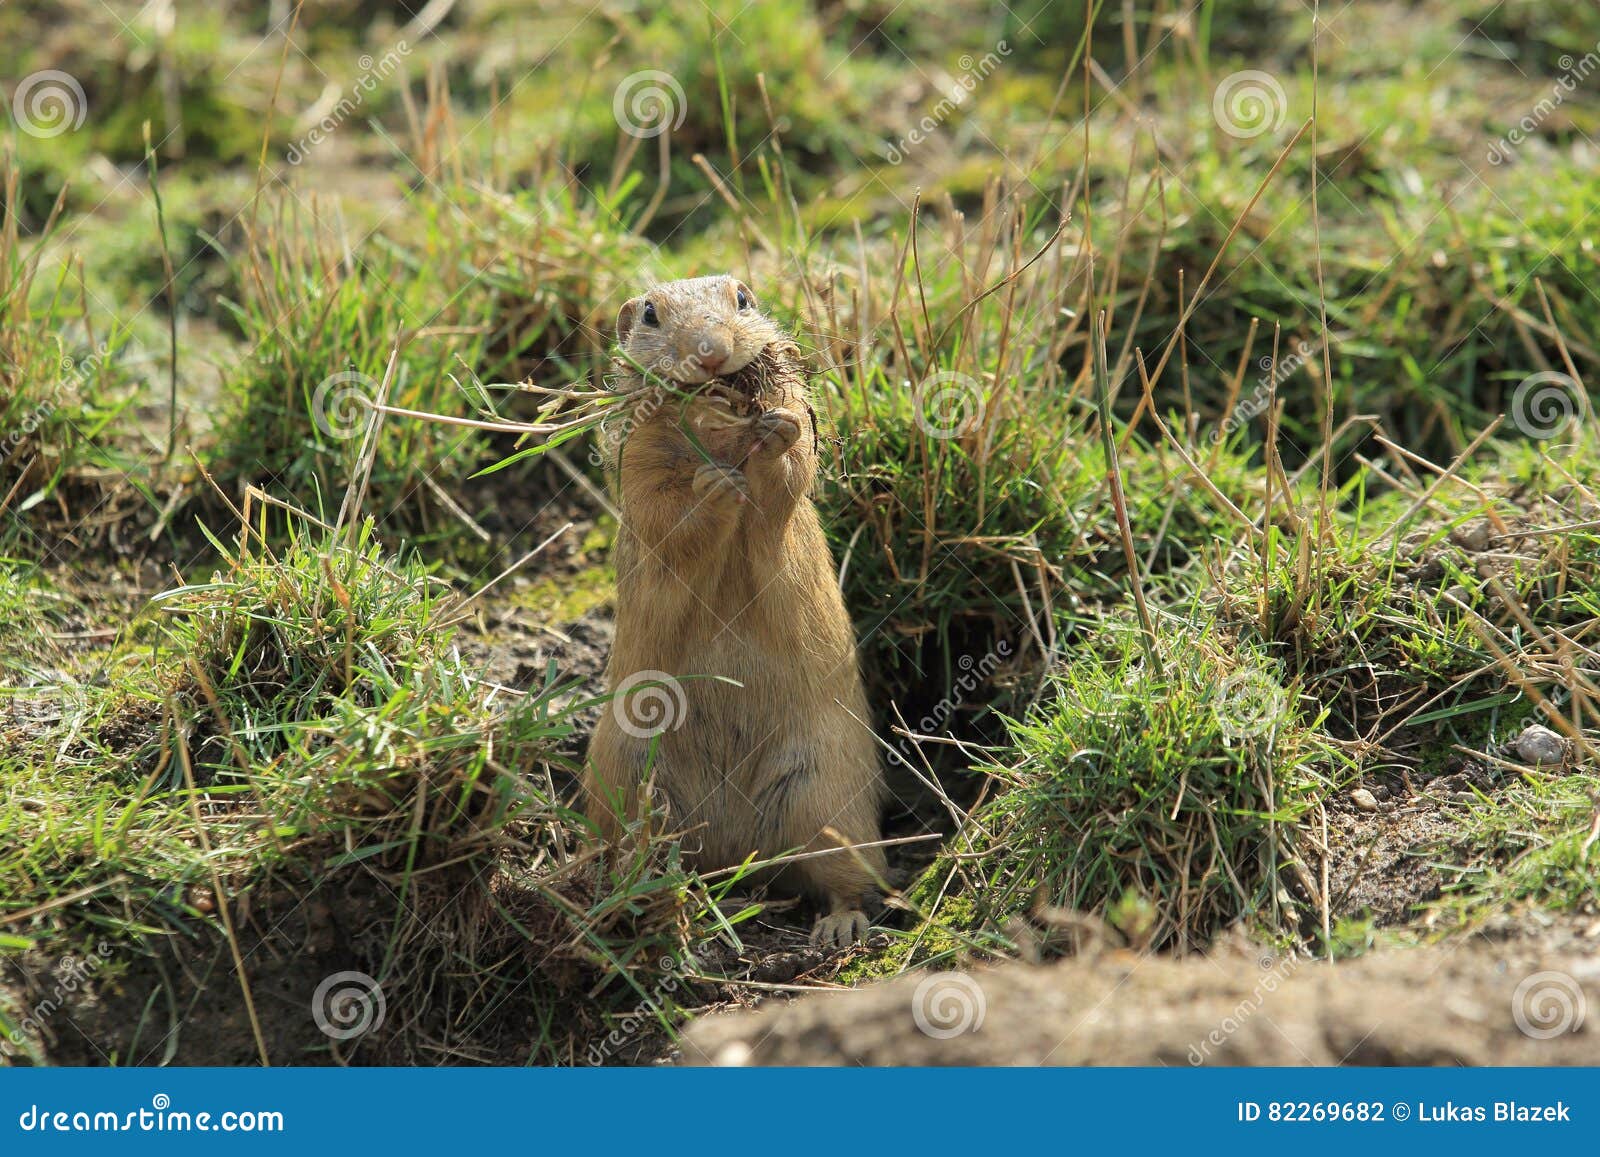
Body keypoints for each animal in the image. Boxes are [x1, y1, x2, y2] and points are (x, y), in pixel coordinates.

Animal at [582, 274, 887, 947]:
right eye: (650, 313)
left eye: (743, 298)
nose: (713, 354)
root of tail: (735, 855)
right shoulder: (640, 464)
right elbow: (669, 511)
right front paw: (715, 485)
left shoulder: (791, 438)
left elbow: (788, 471)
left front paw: (771, 434)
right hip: (624, 776)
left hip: (830, 796)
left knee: (846, 876)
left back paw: (841, 927)